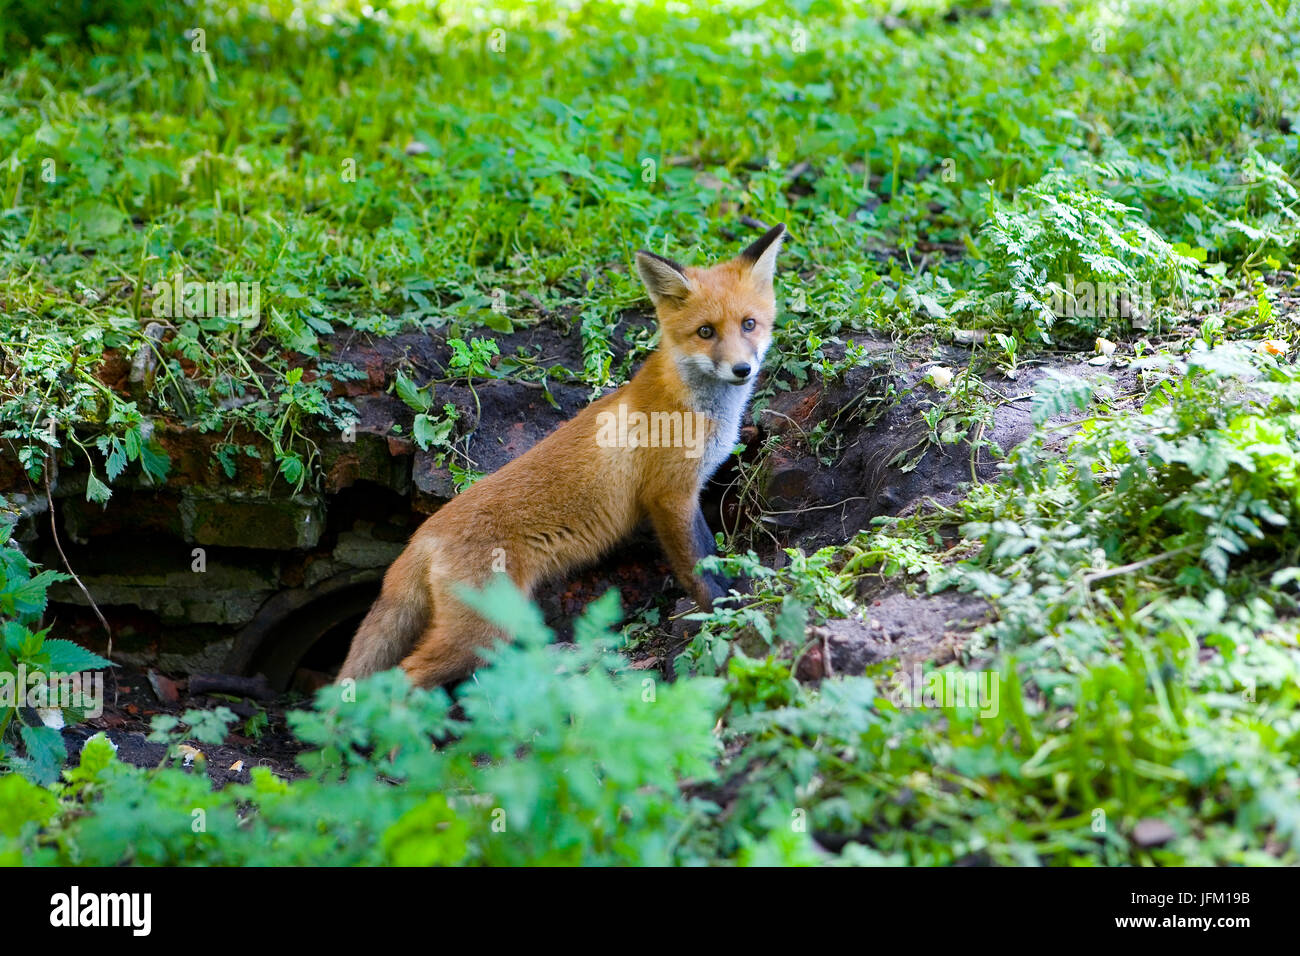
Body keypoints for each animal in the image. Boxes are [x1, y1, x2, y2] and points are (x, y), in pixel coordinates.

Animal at [338, 223, 786, 688]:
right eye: (705, 332)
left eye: (749, 324)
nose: (742, 370)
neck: (696, 406)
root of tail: (422, 534)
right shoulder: (669, 496)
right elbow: (698, 564)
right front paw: (724, 611)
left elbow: (710, 553)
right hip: (480, 630)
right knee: (405, 676)